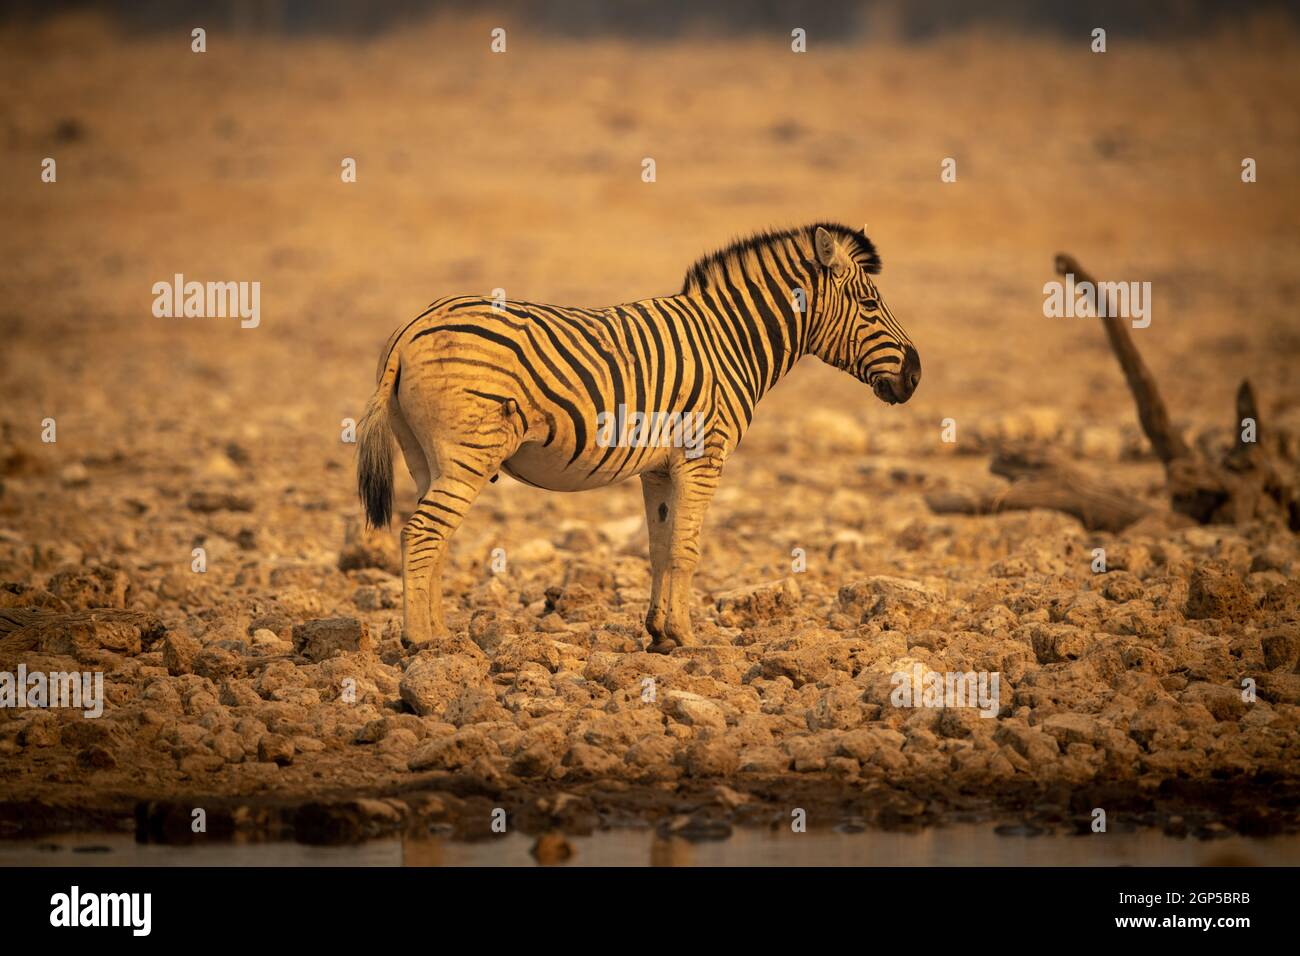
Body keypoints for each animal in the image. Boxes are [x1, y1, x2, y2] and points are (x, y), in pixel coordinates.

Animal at [357, 222, 921, 653]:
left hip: (425, 456)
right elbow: (687, 549)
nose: (915, 376)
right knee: (422, 532)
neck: (730, 341)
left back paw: (441, 633)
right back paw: (422, 641)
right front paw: (688, 638)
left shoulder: (659, 467)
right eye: (870, 304)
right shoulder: (703, 455)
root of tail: (410, 330)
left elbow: (660, 545)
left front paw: (659, 633)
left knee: (433, 536)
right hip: (469, 453)